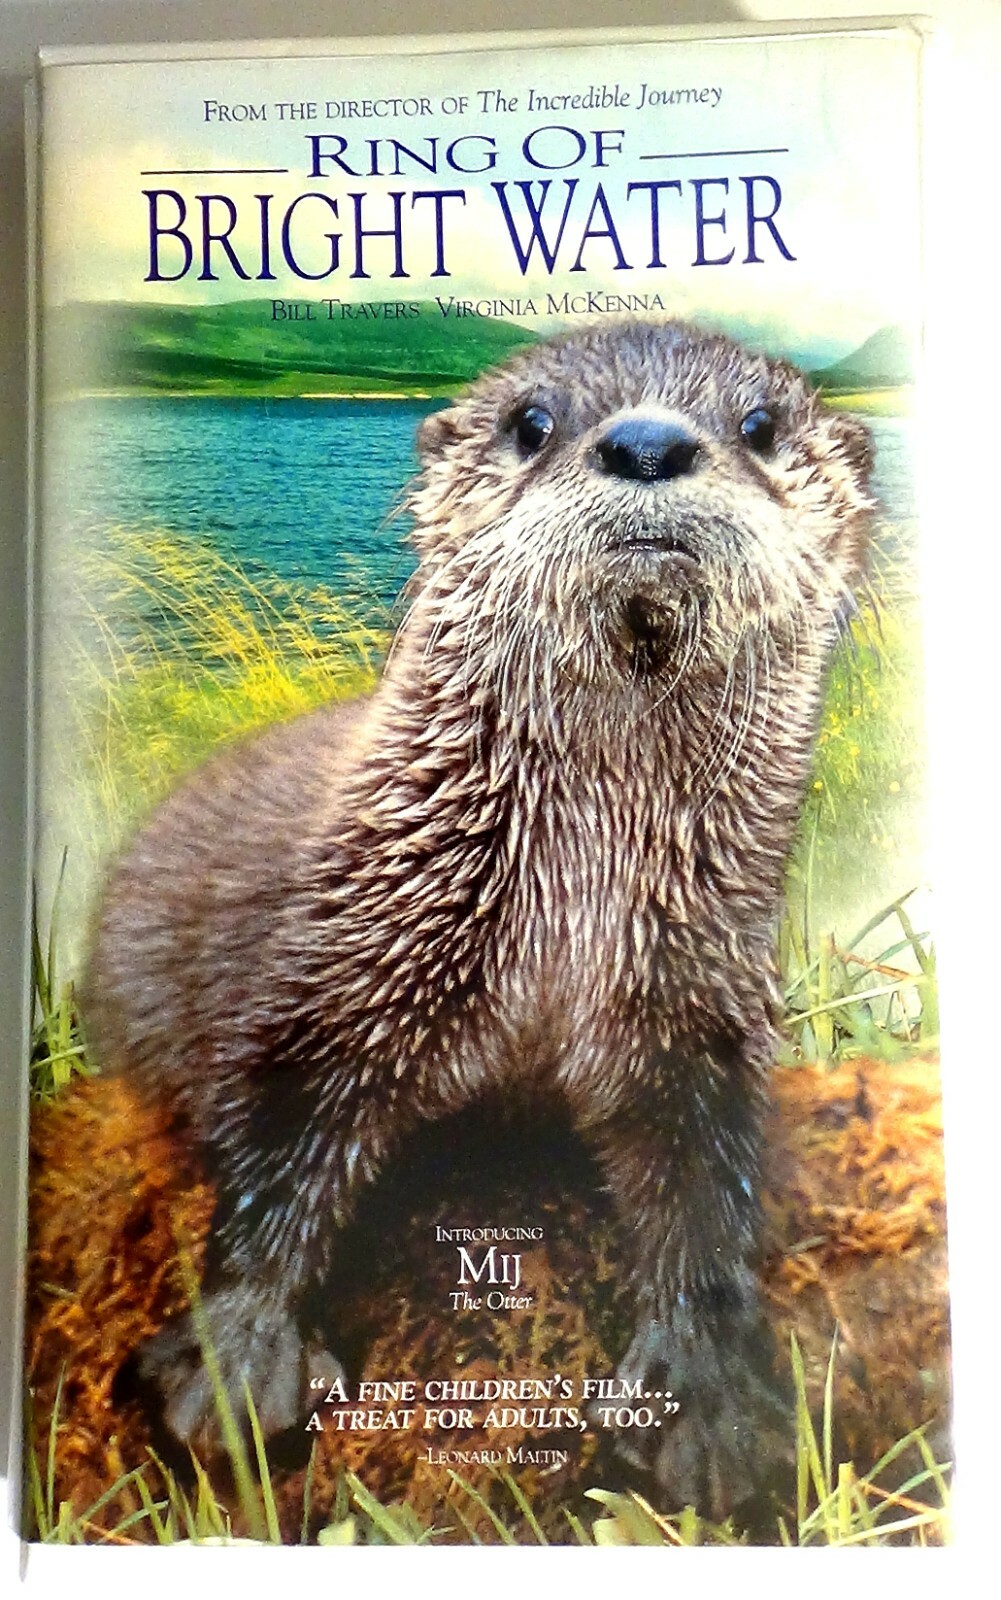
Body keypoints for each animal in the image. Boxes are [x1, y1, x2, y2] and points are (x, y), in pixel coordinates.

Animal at [86, 319, 873, 1516]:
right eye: (532, 422)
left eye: (759, 424)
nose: (648, 442)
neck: (563, 920)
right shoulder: (344, 956)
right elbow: (278, 1141)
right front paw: (234, 1356)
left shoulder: (698, 988)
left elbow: (710, 1178)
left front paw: (709, 1398)